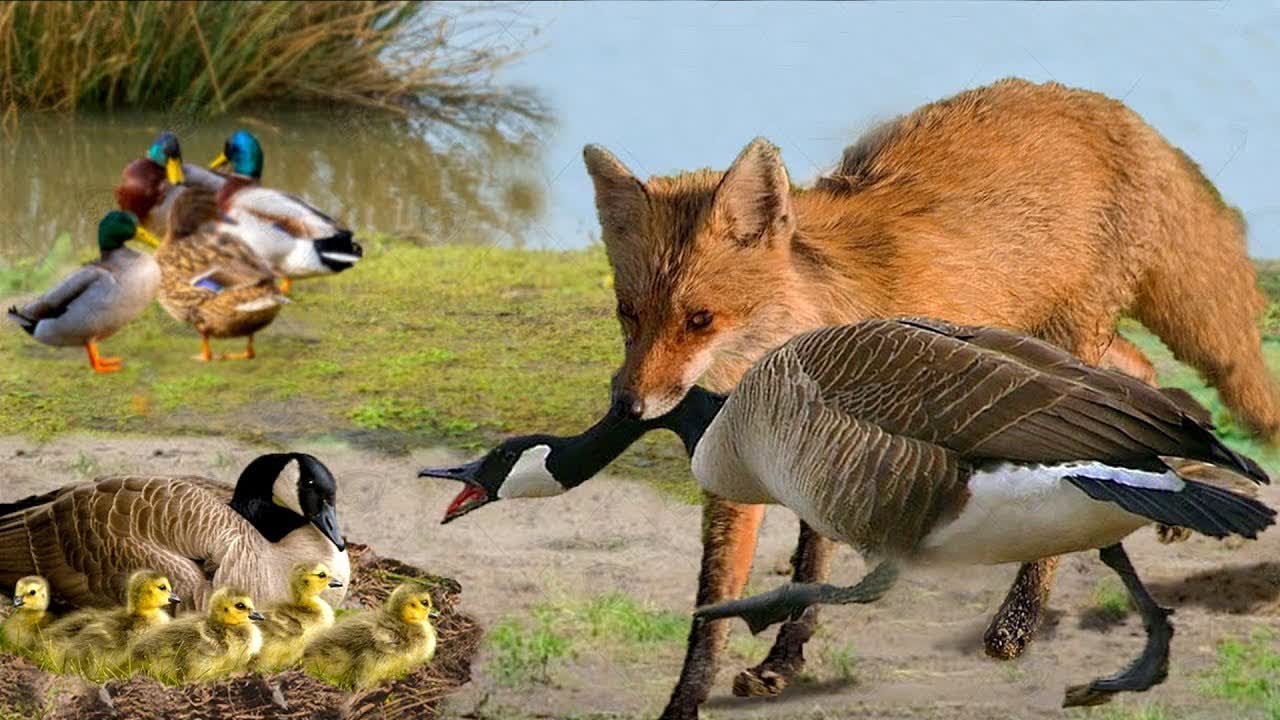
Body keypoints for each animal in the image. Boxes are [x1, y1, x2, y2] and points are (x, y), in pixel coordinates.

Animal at [585, 78, 1280, 719]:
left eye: (699, 320)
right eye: (629, 316)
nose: (627, 406)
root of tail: (1102, 104)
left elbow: (810, 568)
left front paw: (783, 660)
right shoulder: (752, 468)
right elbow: (712, 606)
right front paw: (691, 699)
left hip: (1063, 342)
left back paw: (1018, 623)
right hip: (1046, 345)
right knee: (1144, 376)